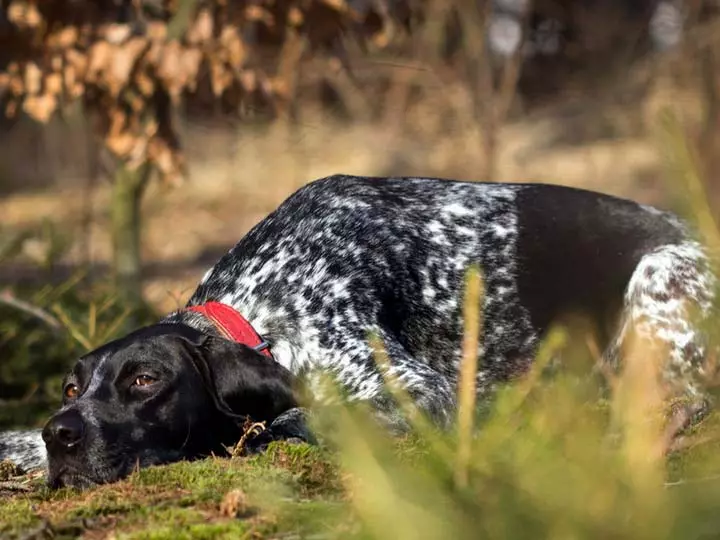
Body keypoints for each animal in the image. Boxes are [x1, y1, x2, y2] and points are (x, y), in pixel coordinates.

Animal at [1, 175, 720, 488]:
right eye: (70, 387)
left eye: (146, 380)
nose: (62, 434)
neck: (261, 307)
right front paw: (25, 445)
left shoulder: (419, 392)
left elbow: (295, 421)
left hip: (658, 282)